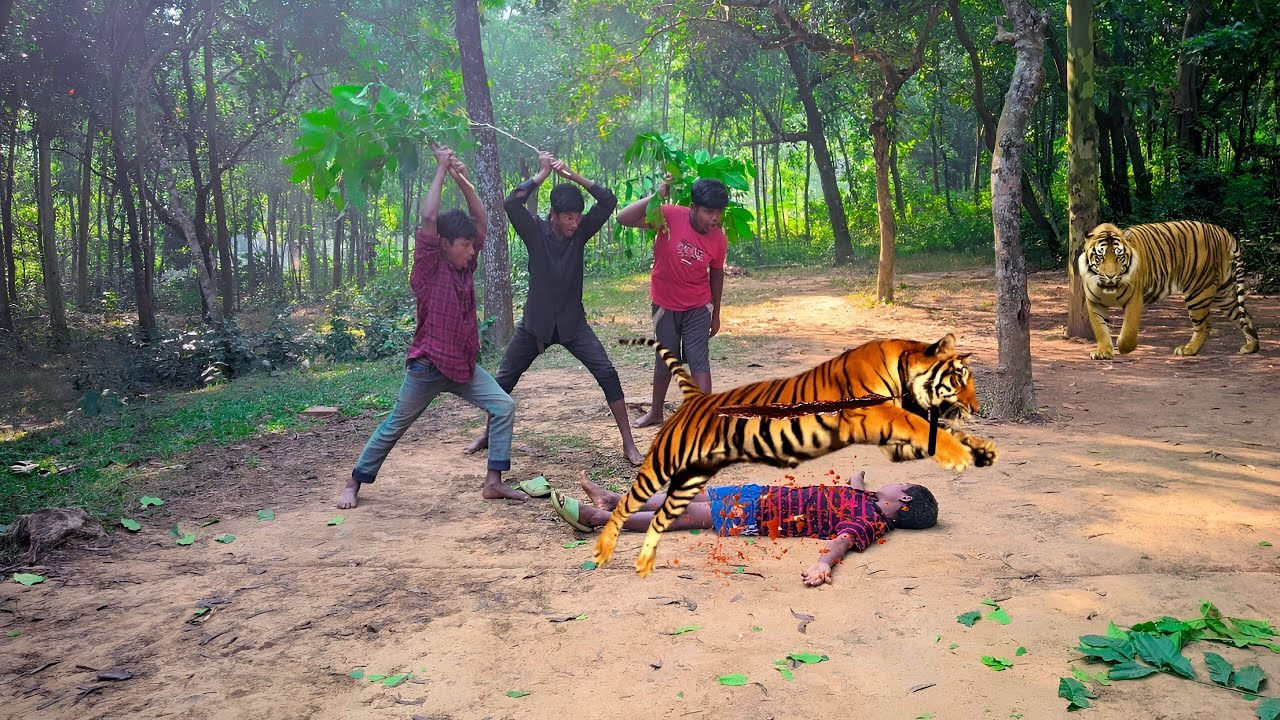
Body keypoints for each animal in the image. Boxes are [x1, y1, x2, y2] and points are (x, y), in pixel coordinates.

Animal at [594, 334, 997, 577]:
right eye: (960, 379)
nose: (976, 410)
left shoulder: (864, 522)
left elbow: (841, 541)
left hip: (716, 506)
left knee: (652, 510)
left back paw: (593, 514)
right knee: (639, 501)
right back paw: (595, 501)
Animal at [1078, 221, 1260, 360]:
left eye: (1119, 256)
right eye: (1100, 257)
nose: (1111, 276)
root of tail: (1225, 232)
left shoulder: (1134, 299)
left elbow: (1128, 329)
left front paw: (1124, 348)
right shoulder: (1094, 302)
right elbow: (1100, 329)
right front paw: (1103, 352)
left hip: (1198, 291)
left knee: (1205, 325)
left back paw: (1188, 350)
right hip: (1224, 293)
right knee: (1244, 316)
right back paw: (1252, 347)